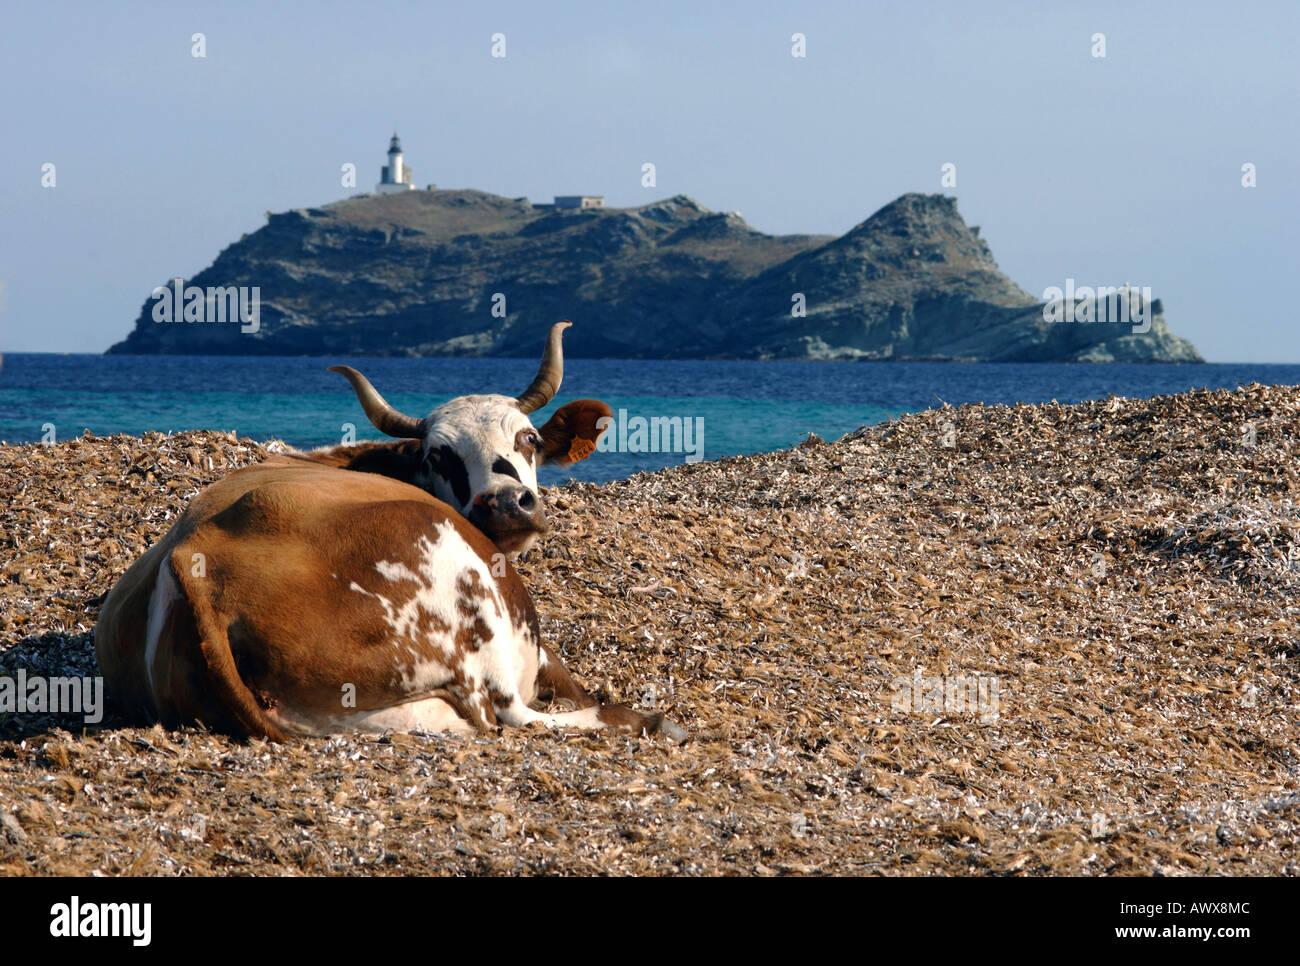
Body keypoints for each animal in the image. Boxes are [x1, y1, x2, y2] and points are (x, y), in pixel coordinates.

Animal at [94, 322, 686, 742]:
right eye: (437, 456)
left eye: (531, 438)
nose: (504, 504)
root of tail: (195, 561)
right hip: (465, 595)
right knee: (516, 713)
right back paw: (651, 721)